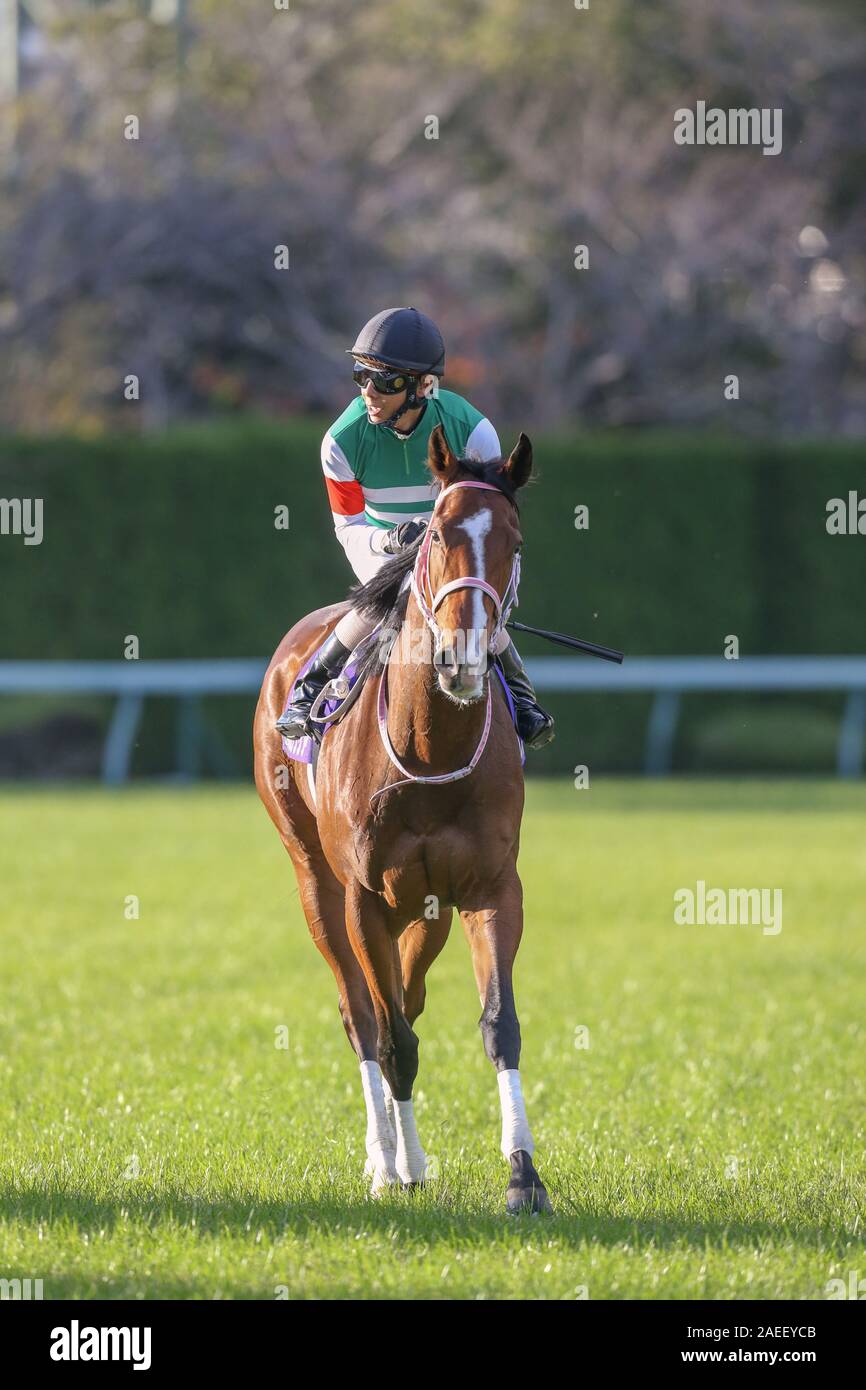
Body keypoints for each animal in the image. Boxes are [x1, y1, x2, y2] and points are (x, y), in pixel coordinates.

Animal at [253, 423, 551, 1214]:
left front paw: (524, 1175)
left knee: (407, 1002)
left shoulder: (487, 887)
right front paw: (403, 1167)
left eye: (514, 539)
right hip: (315, 881)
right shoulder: (362, 897)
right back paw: (386, 1158)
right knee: (362, 1015)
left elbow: (498, 1025)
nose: (462, 657)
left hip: (425, 907)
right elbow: (386, 1037)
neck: (427, 746)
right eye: (438, 534)